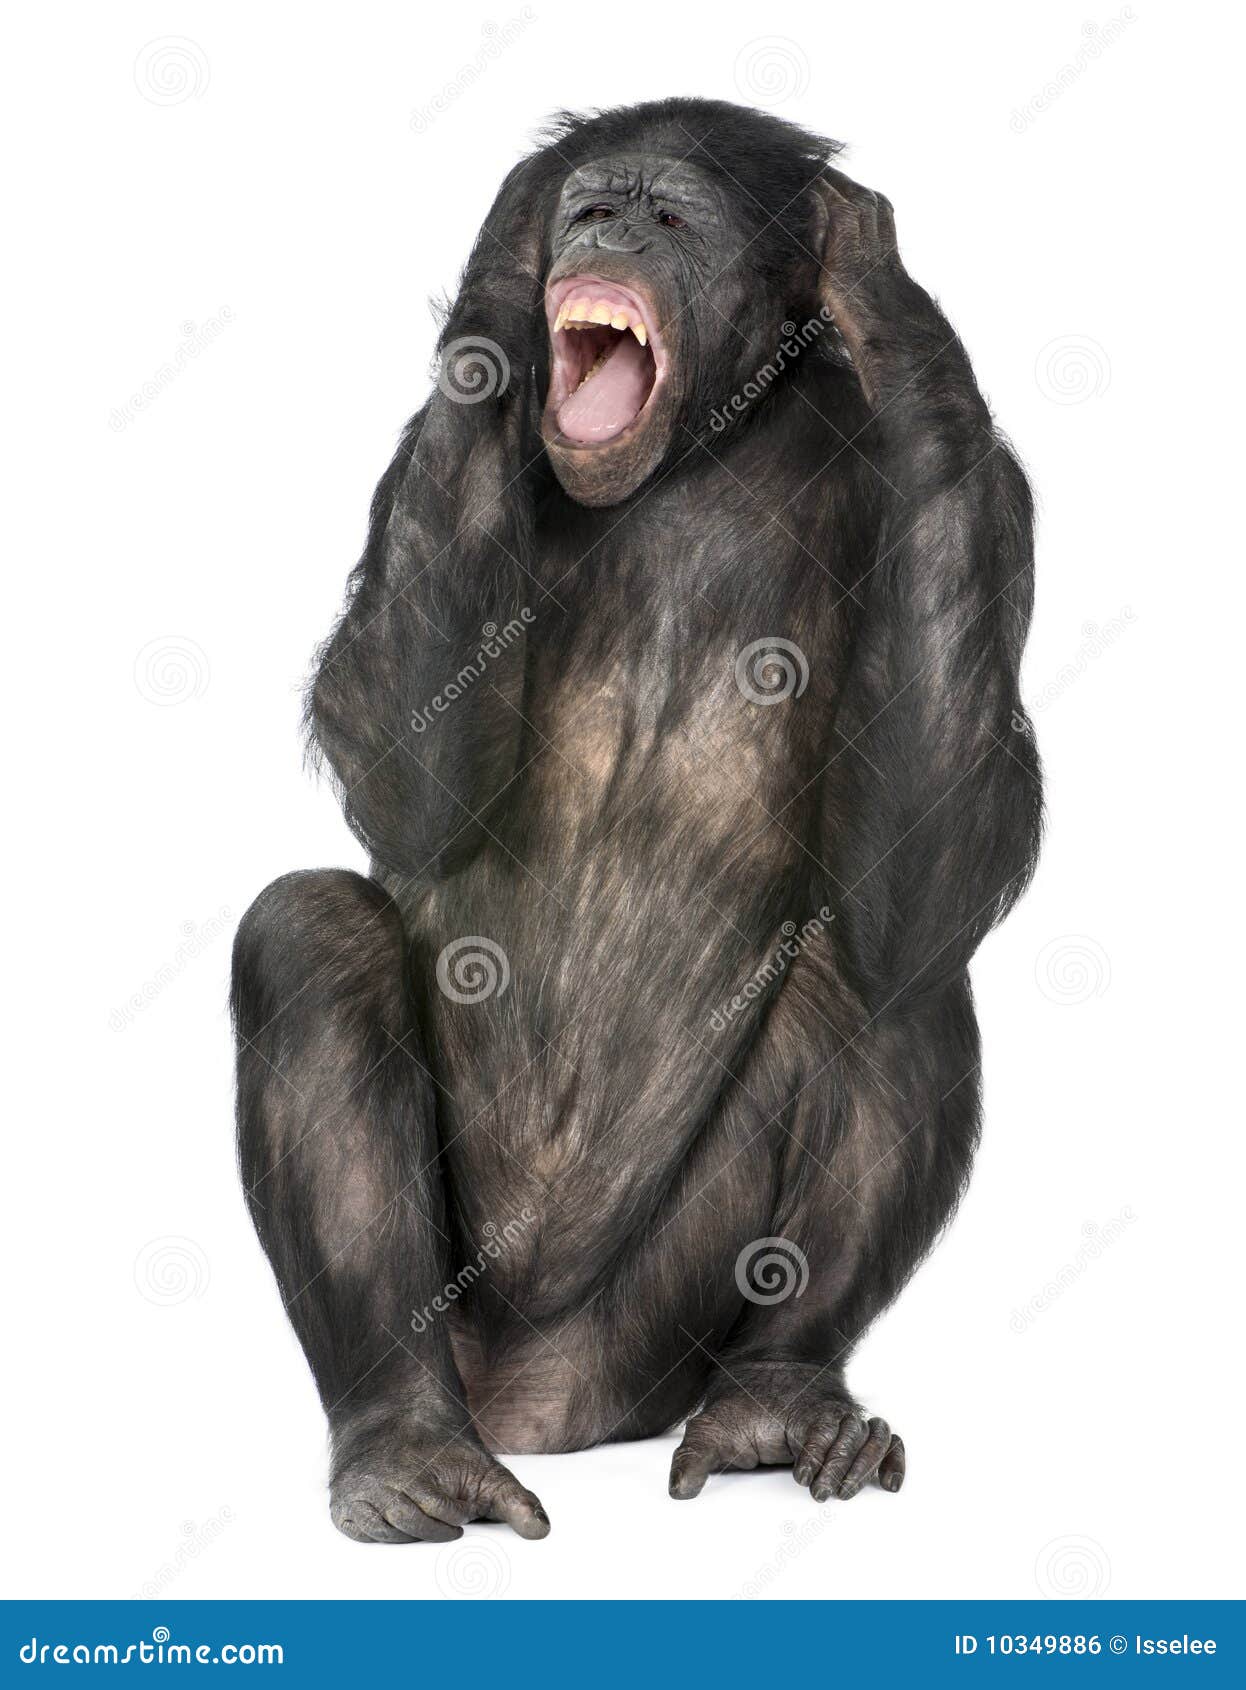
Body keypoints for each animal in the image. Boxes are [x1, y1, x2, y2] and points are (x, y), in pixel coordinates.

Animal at [231, 97, 1042, 1543]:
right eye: (589, 205)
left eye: (668, 215)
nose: (602, 226)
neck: (702, 446)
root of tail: (532, 1406)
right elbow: (410, 779)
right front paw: (503, 248)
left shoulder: (987, 500)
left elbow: (928, 869)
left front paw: (883, 291)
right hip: (479, 1315)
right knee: (308, 929)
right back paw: (400, 1438)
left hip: (655, 1328)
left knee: (887, 977)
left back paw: (780, 1397)